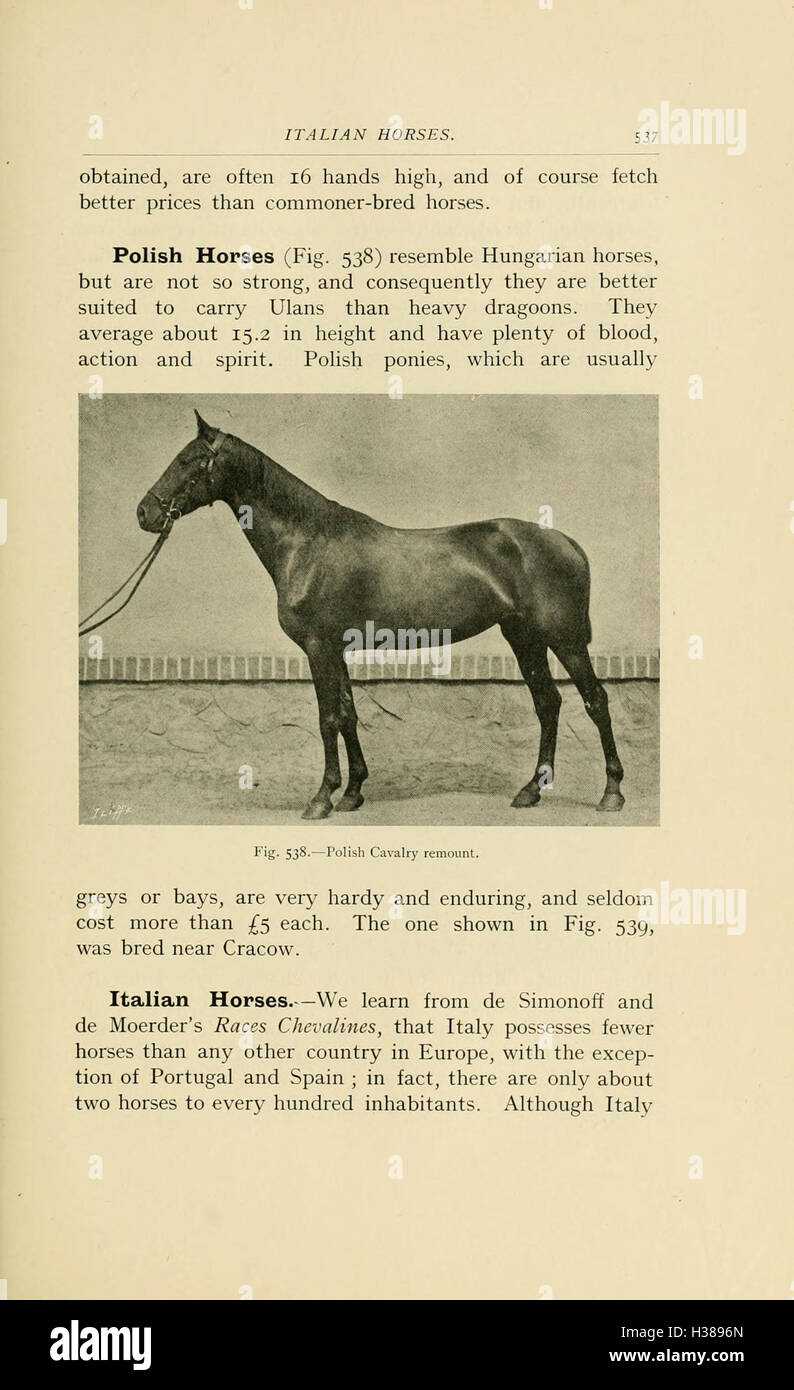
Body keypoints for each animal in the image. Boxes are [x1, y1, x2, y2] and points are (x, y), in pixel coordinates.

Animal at [137, 412, 625, 821]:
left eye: (188, 460)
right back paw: (531, 790)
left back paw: (612, 793)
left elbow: (327, 719)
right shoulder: (336, 649)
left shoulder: (318, 647)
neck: (308, 542)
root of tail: (565, 542)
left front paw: (321, 798)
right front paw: (352, 793)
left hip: (564, 639)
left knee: (595, 701)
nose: (146, 512)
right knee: (548, 703)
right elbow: (348, 715)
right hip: (524, 637)